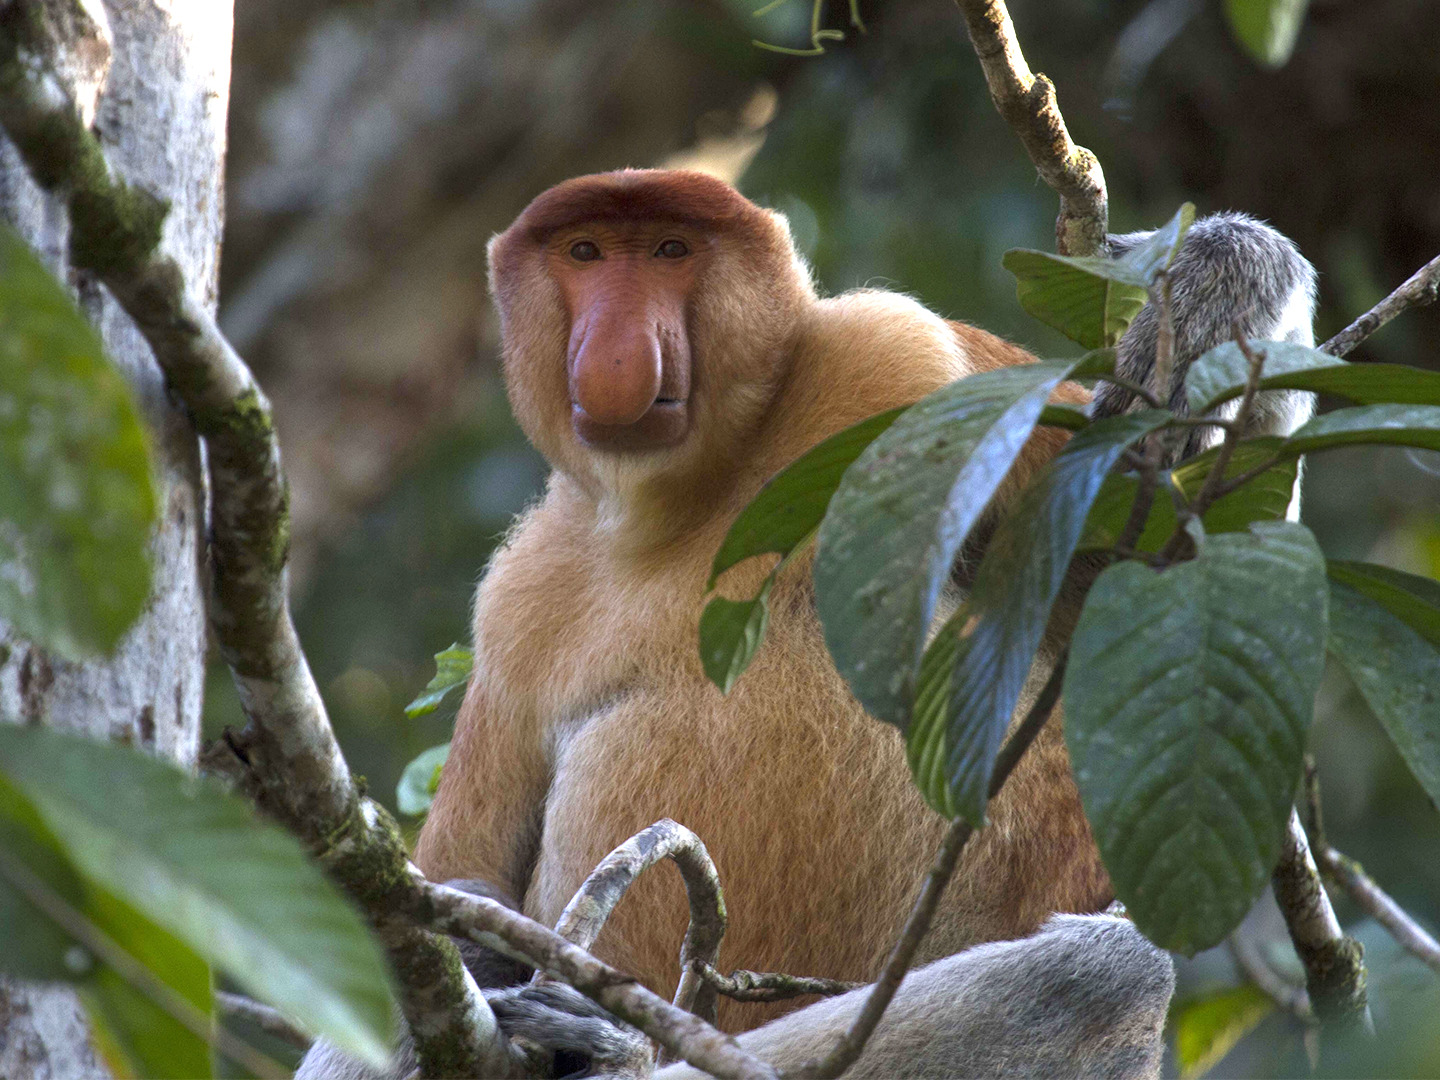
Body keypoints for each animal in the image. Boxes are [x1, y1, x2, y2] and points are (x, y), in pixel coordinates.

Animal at [299, 169, 1314, 1078]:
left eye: (670, 251)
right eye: (584, 254)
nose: (618, 348)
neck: (687, 503)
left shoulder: (906, 362)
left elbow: (1203, 574)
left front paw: (1216, 287)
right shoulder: (518, 603)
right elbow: (459, 882)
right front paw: (481, 948)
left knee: (1101, 978)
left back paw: (611, 1049)